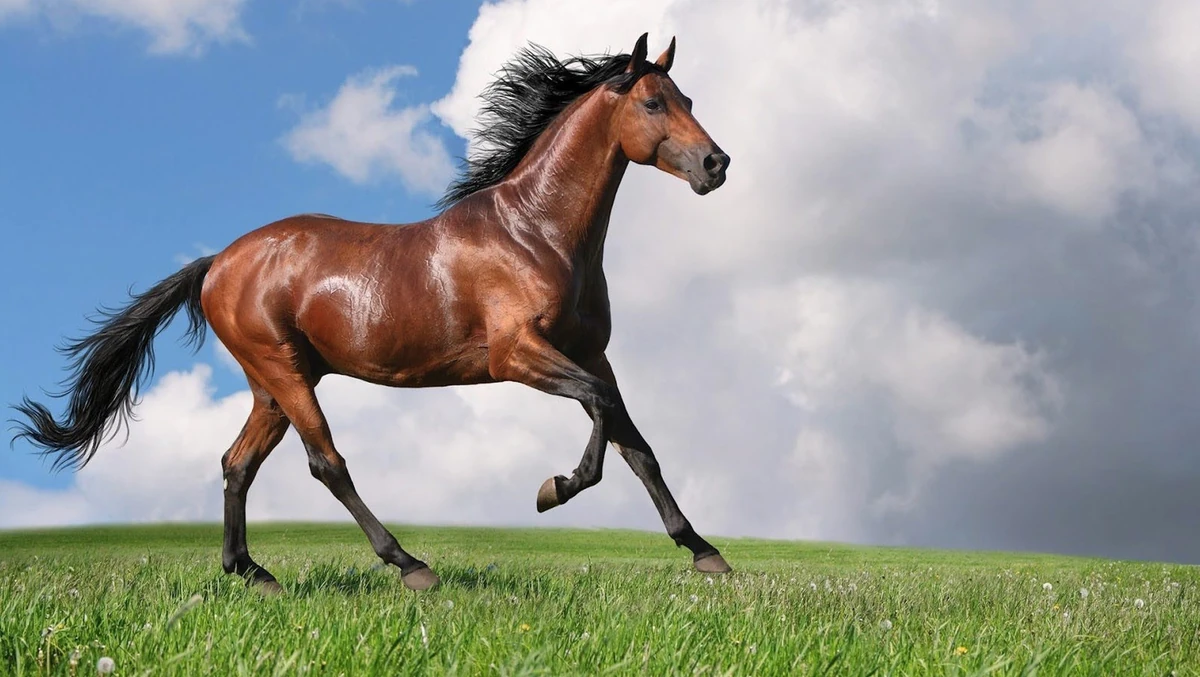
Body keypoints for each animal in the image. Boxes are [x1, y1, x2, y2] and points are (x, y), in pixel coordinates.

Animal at [11, 33, 731, 593]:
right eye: (653, 101)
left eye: (689, 100)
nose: (716, 163)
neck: (536, 232)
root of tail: (218, 262)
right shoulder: (518, 354)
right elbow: (603, 418)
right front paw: (553, 488)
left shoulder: (590, 352)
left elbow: (636, 444)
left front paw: (703, 551)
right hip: (284, 372)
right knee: (326, 462)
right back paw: (410, 564)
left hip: (273, 384)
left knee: (237, 463)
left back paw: (253, 573)